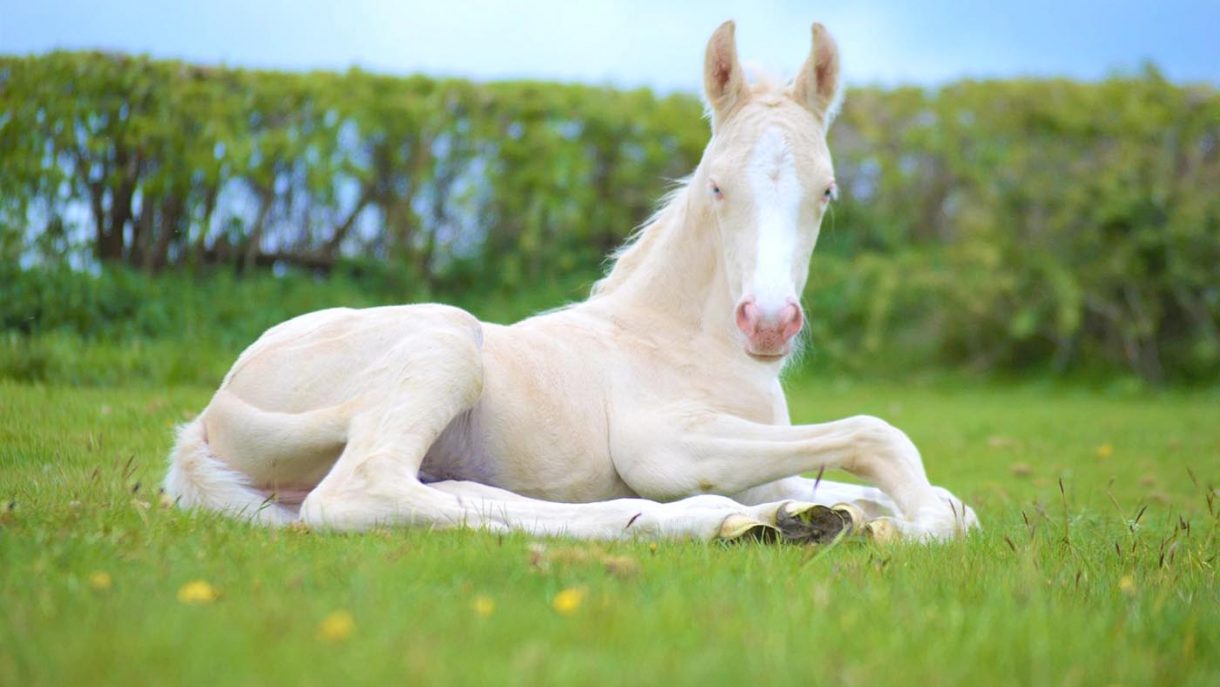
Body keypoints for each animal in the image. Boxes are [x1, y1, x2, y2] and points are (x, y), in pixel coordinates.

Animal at [164, 21, 979, 543]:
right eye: (717, 186)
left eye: (827, 191)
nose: (770, 322)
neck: (683, 341)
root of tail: (209, 414)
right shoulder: (667, 446)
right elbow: (880, 438)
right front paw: (905, 527)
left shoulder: (766, 465)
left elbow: (922, 495)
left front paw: (853, 515)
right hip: (445, 341)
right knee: (361, 494)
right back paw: (700, 520)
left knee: (436, 494)